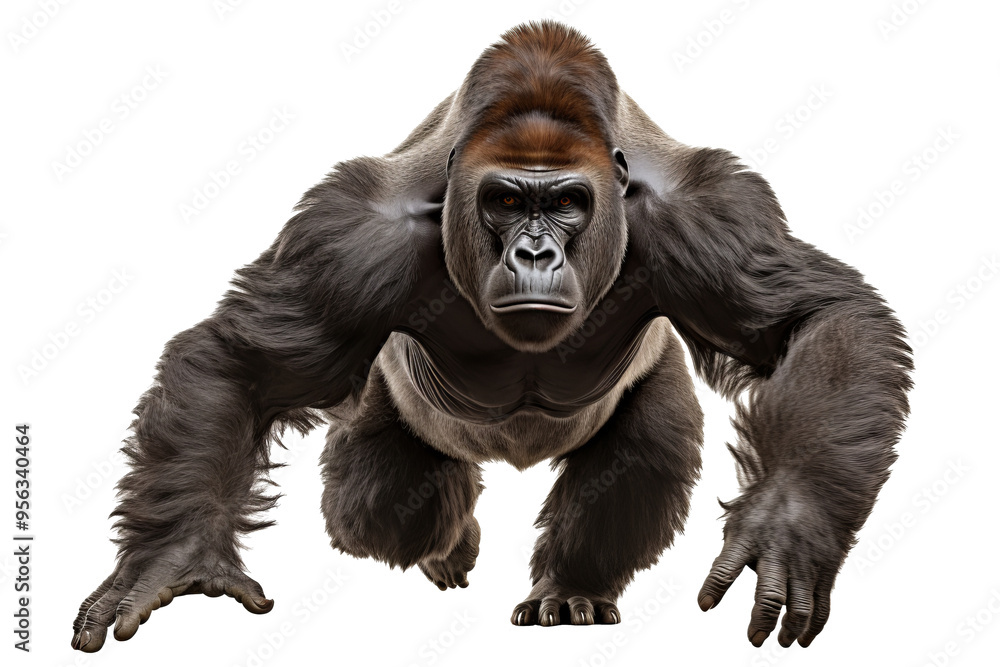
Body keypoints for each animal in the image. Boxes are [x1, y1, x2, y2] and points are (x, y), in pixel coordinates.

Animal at [72, 21, 912, 652]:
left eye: (566, 202)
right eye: (506, 202)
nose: (534, 254)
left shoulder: (710, 211)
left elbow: (819, 316)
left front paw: (791, 517)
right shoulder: (349, 236)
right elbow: (244, 363)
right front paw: (173, 555)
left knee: (644, 448)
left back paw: (571, 589)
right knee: (383, 506)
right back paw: (449, 545)